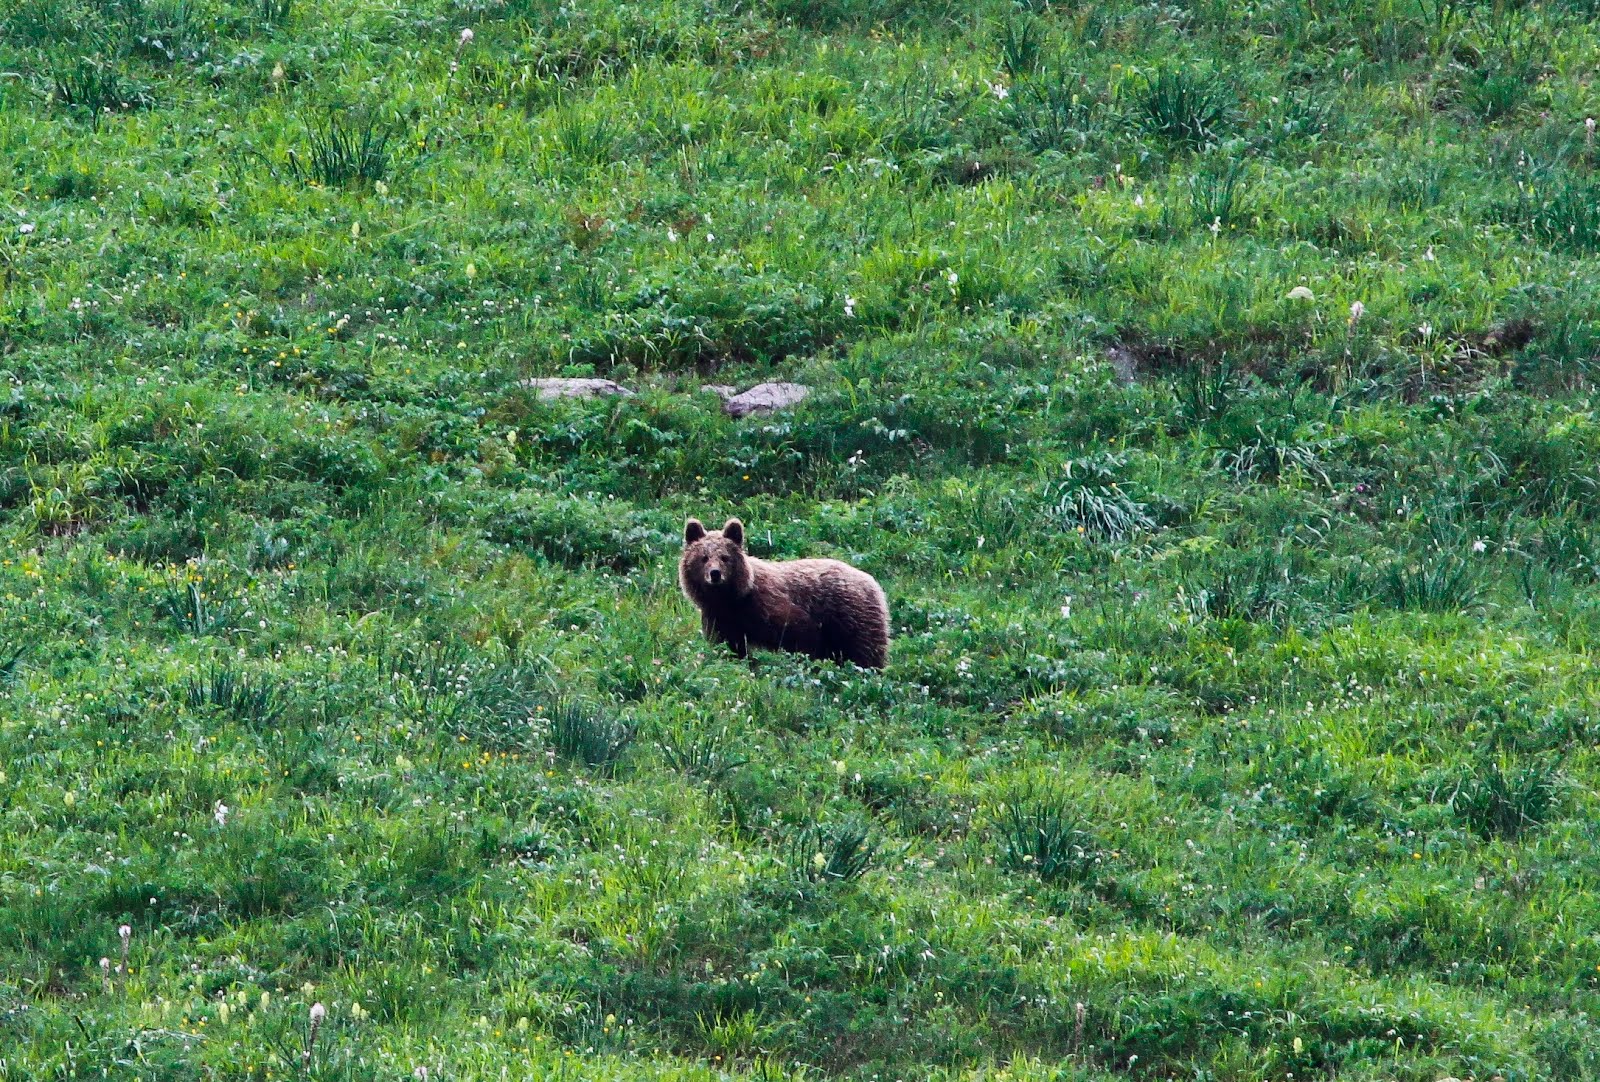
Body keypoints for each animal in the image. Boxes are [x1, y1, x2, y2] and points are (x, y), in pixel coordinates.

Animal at [679, 517, 890, 670]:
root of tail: (871, 581)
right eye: (704, 557)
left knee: (865, 653)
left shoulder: (772, 607)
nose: (715, 574)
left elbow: (799, 634)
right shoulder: (720, 618)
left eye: (724, 557)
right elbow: (729, 647)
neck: (731, 599)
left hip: (852, 618)